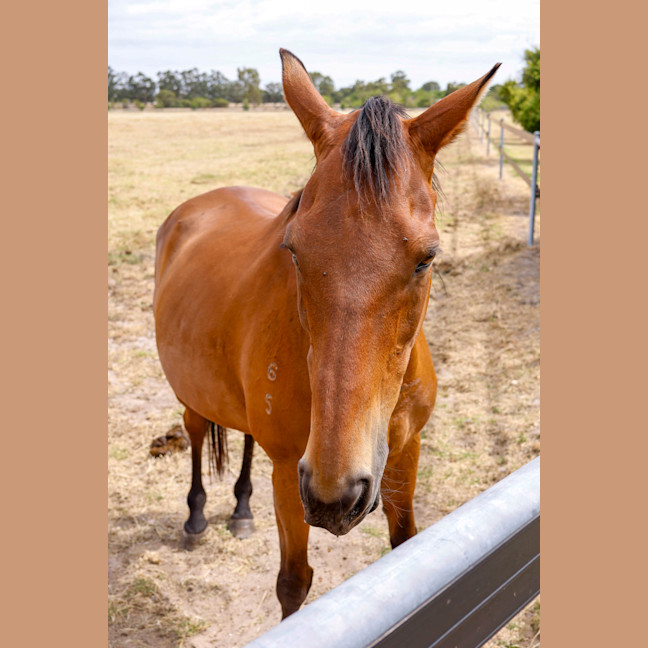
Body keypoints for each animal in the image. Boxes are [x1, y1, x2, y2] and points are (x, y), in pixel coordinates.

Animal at [153, 49, 499, 618]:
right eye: (294, 250)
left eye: (427, 258)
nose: (336, 494)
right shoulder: (289, 476)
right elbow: (293, 583)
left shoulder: (405, 454)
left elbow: (405, 547)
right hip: (192, 396)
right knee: (199, 432)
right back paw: (197, 517)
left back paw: (241, 508)